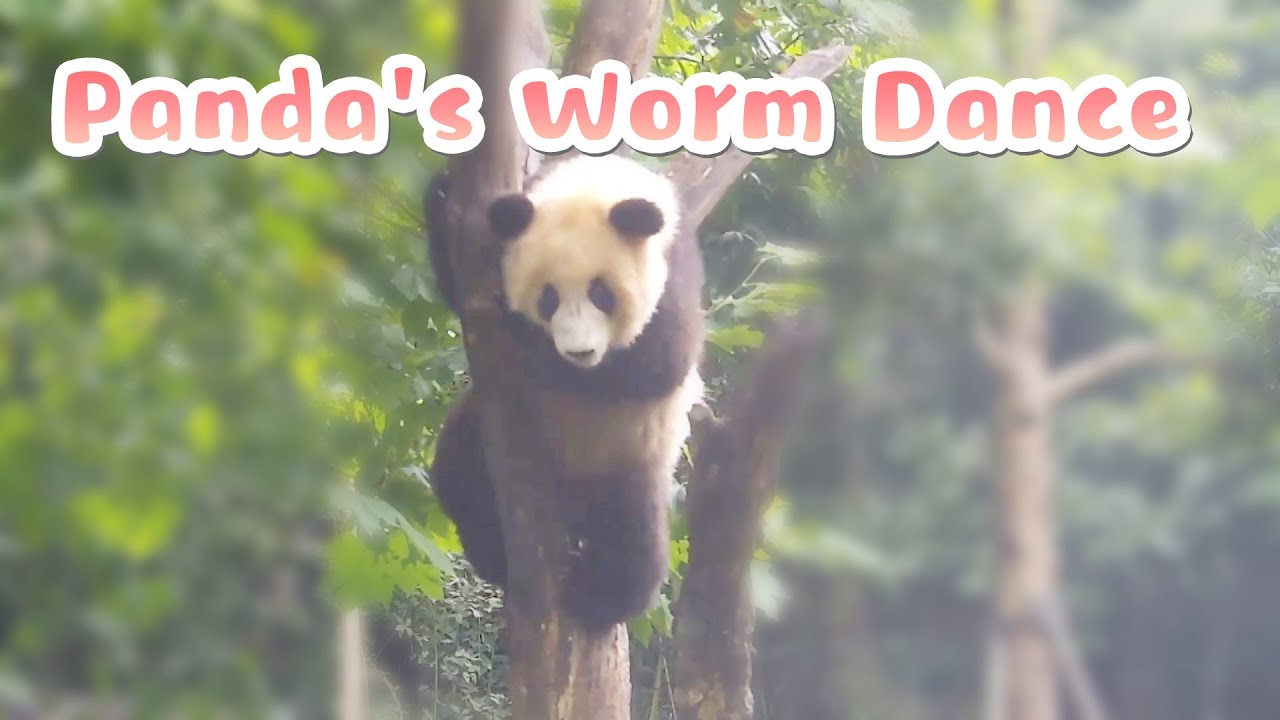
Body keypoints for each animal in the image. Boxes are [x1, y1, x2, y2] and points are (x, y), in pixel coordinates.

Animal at [424, 154, 705, 631]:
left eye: (602, 293)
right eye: (548, 297)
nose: (580, 352)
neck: (594, 185)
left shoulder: (675, 266)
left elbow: (662, 362)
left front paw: (524, 334)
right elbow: (458, 288)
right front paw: (441, 195)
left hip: (630, 455)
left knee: (631, 534)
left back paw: (602, 599)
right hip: (482, 429)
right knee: (460, 473)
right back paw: (495, 554)